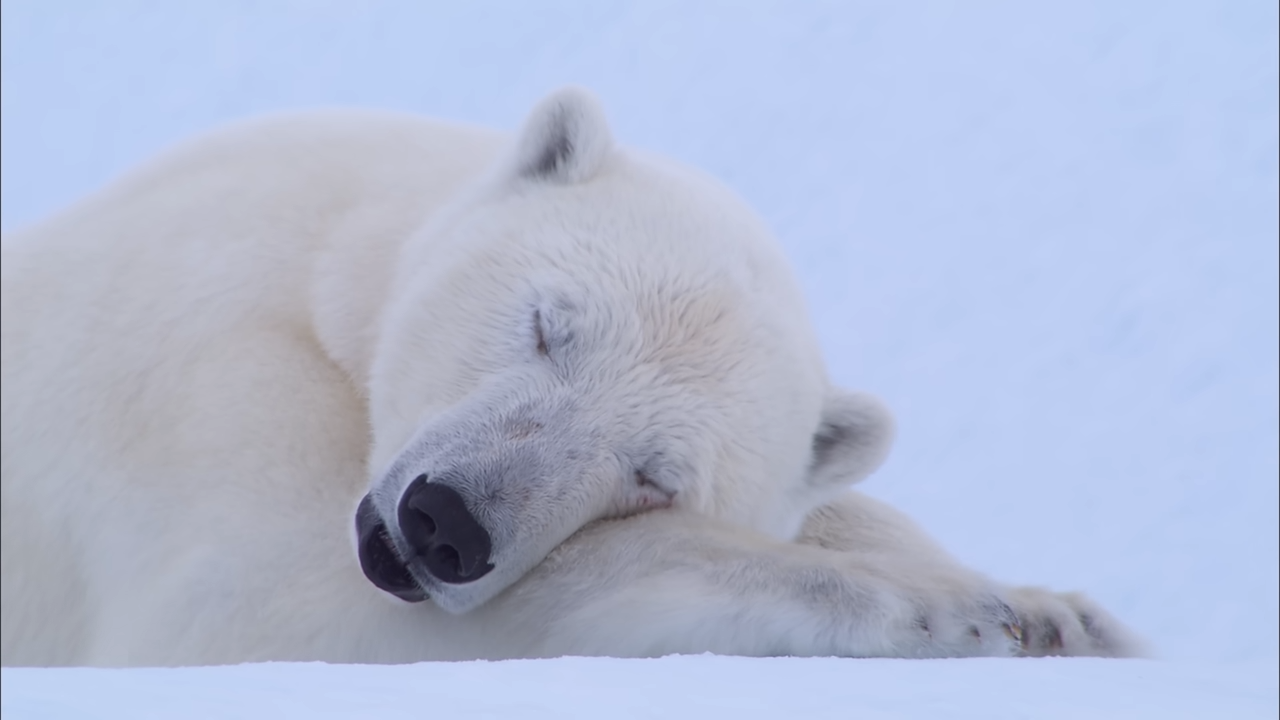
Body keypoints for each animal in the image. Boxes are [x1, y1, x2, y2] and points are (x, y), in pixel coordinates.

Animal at [0, 87, 1143, 666]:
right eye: (550, 327)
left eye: (653, 475)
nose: (444, 525)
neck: (330, 266)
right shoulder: (202, 372)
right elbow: (266, 605)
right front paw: (944, 607)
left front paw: (1056, 615)